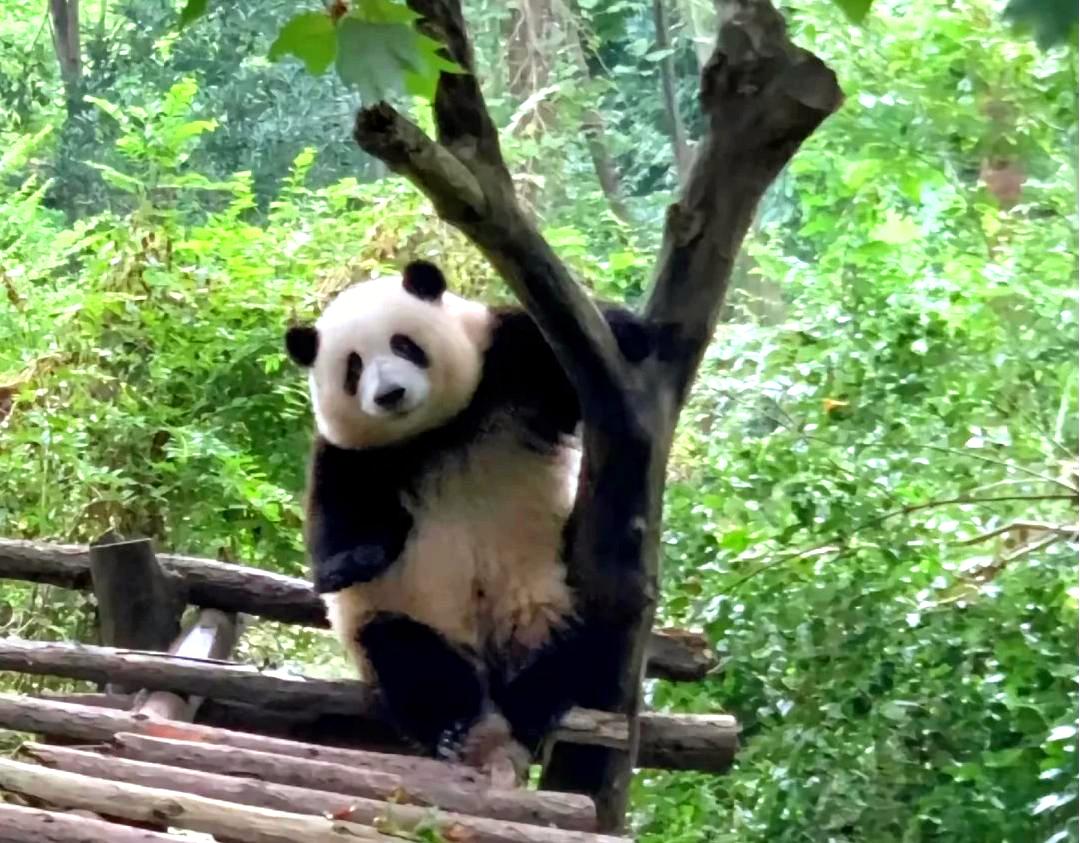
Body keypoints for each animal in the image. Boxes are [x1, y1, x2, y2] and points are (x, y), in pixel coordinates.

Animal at [285, 260, 650, 783]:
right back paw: (454, 727)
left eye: (404, 344)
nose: (390, 394)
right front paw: (349, 563)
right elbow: (337, 515)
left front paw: (632, 332)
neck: (434, 430)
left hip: (542, 596)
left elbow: (557, 352)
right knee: (408, 657)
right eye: (353, 367)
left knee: (567, 647)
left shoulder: (507, 369)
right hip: (408, 613)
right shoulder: (353, 454)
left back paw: (531, 704)